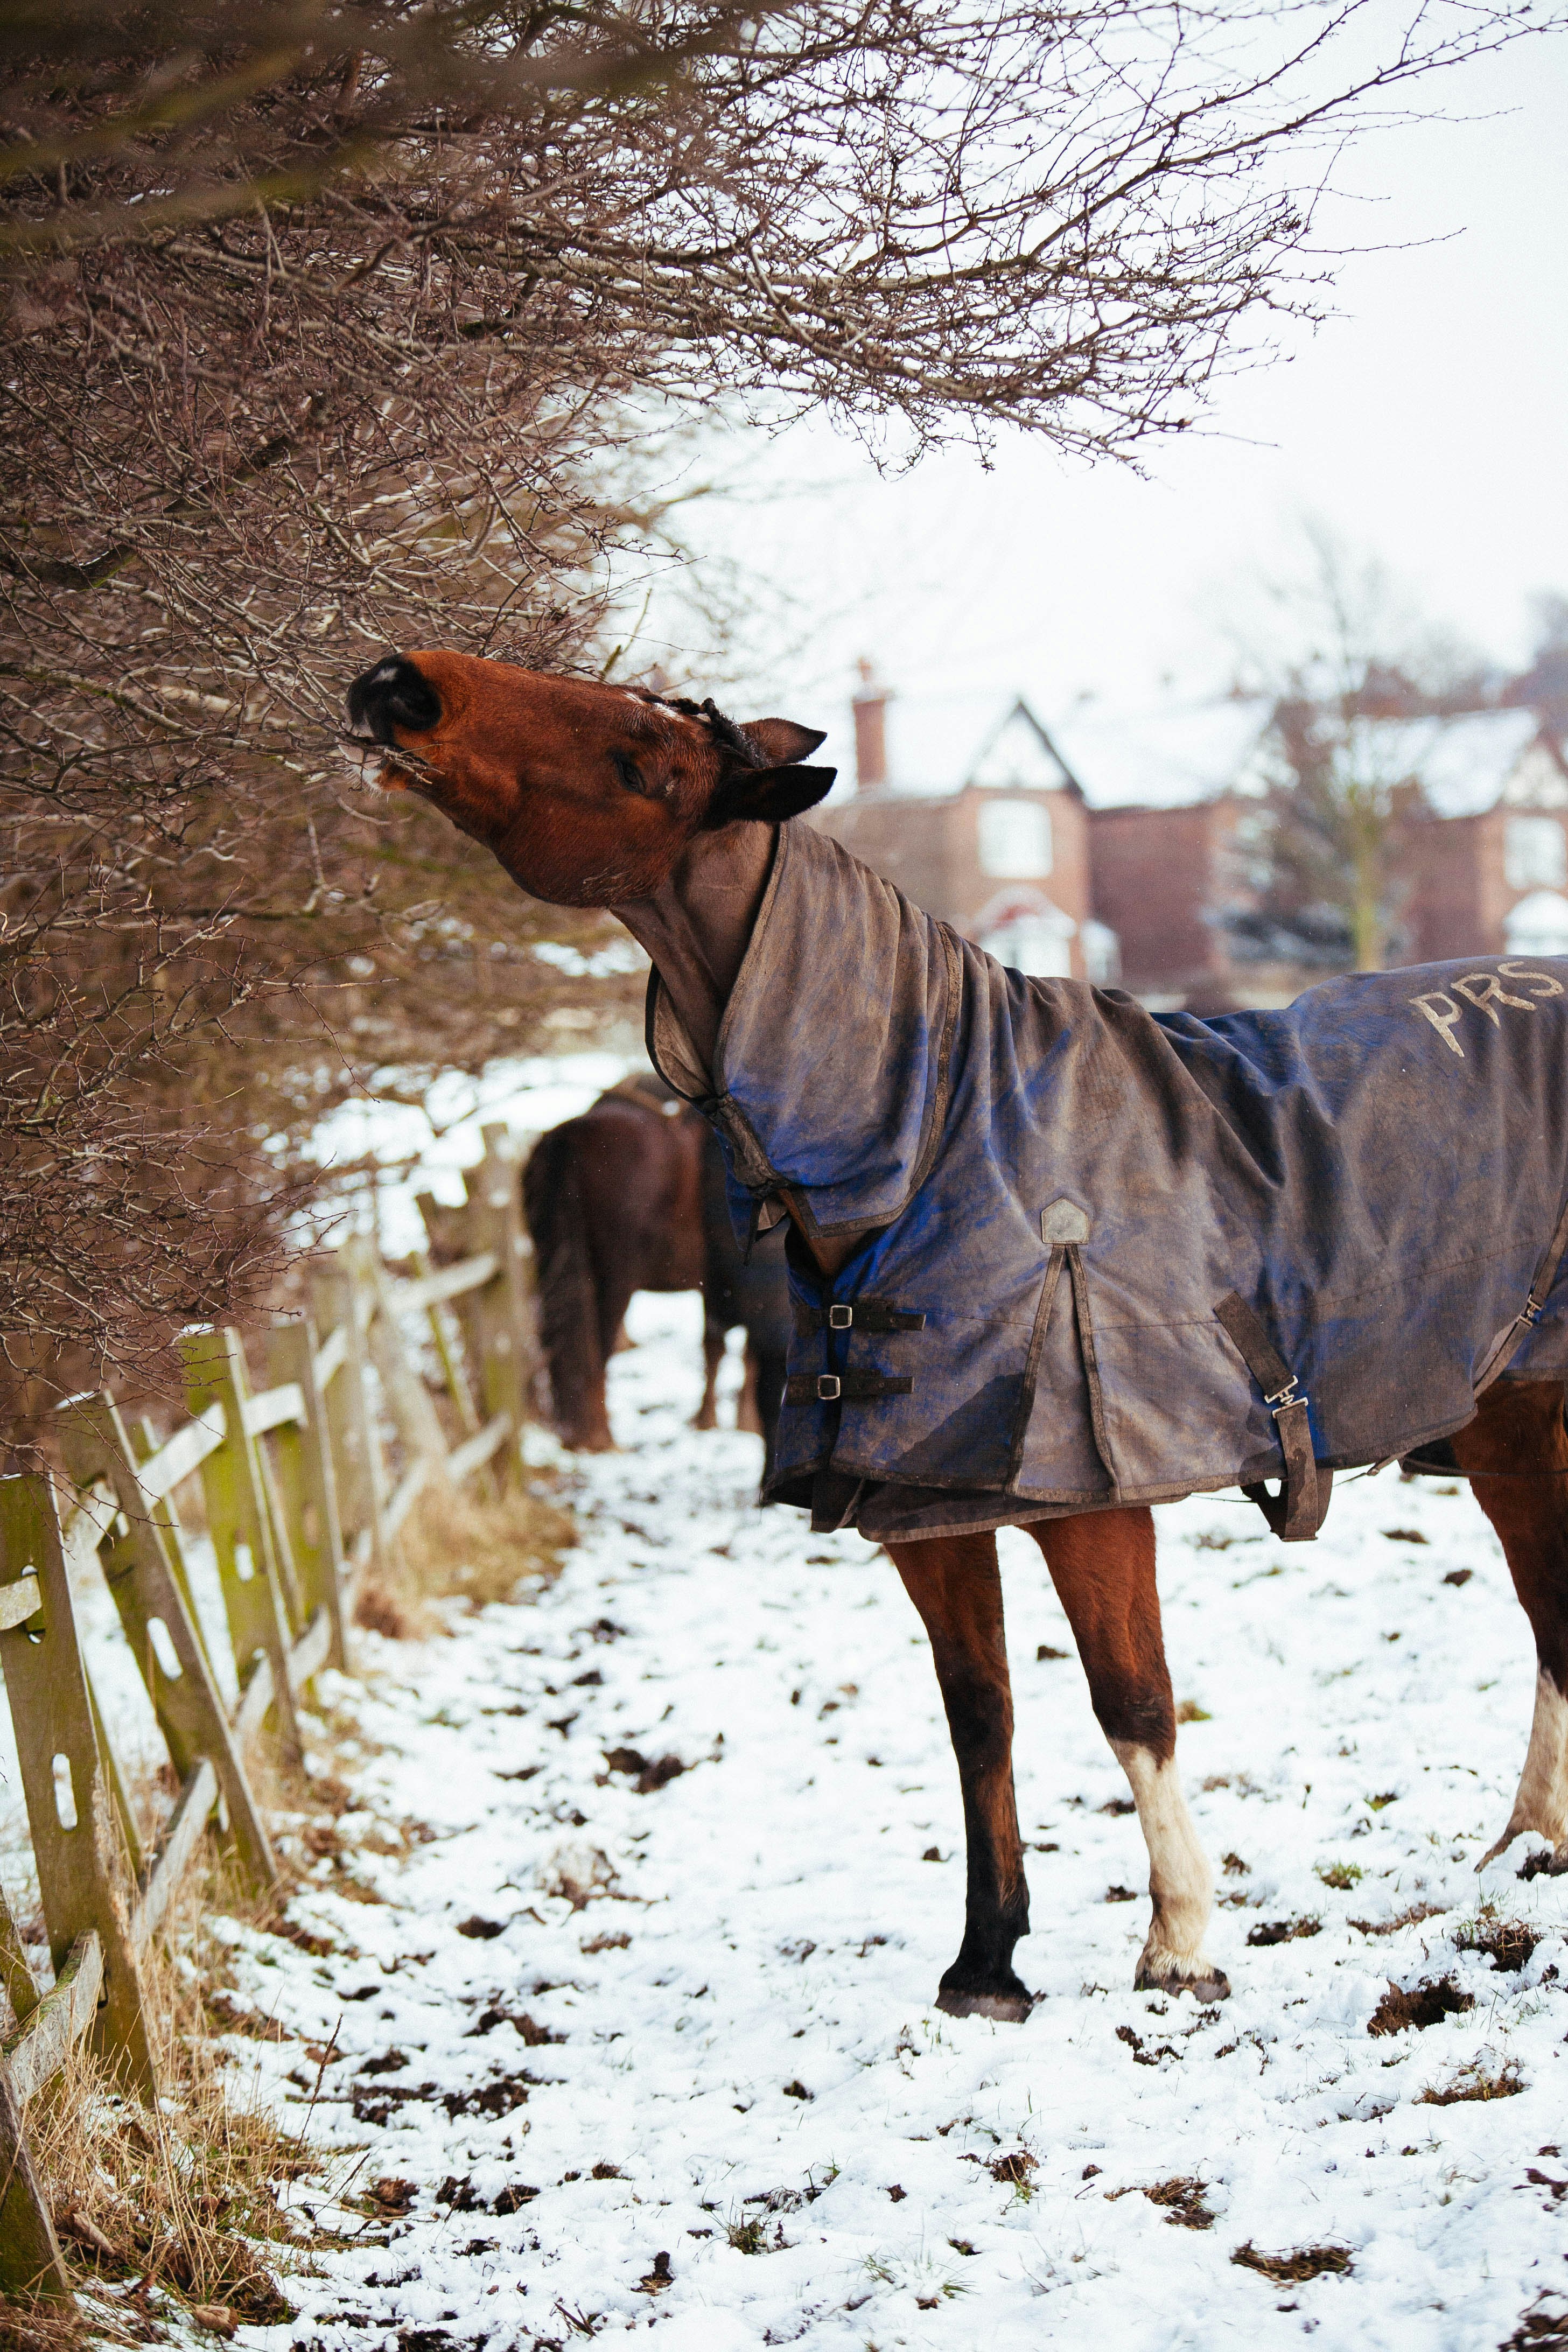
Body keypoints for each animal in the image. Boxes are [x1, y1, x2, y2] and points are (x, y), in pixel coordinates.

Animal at [524, 1073, 790, 1474]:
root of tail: (569, 1136)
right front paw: (742, 1424)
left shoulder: (722, 1286)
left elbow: (717, 1348)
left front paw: (713, 1422)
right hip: (615, 1277)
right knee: (598, 1346)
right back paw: (599, 1438)